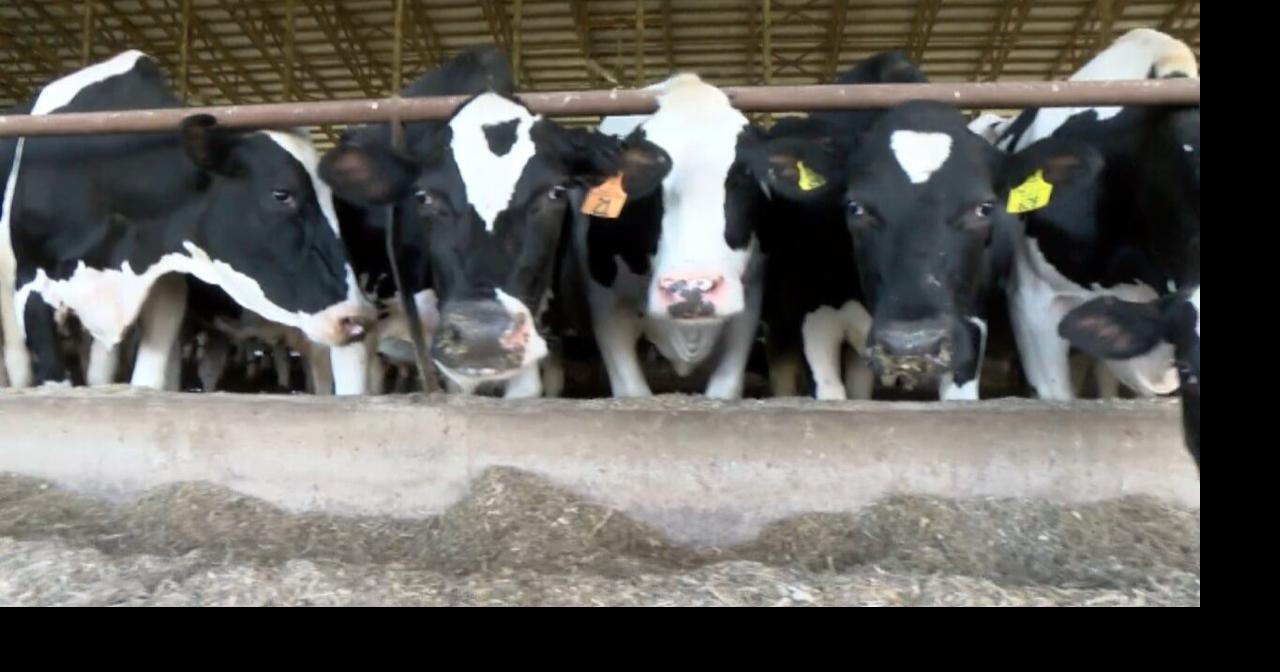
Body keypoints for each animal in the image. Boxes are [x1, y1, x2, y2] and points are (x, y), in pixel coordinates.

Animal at [568, 73, 840, 399]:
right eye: (649, 182)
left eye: (744, 175)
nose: (690, 288)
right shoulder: (606, 308)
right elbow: (632, 391)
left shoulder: (748, 303)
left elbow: (725, 388)